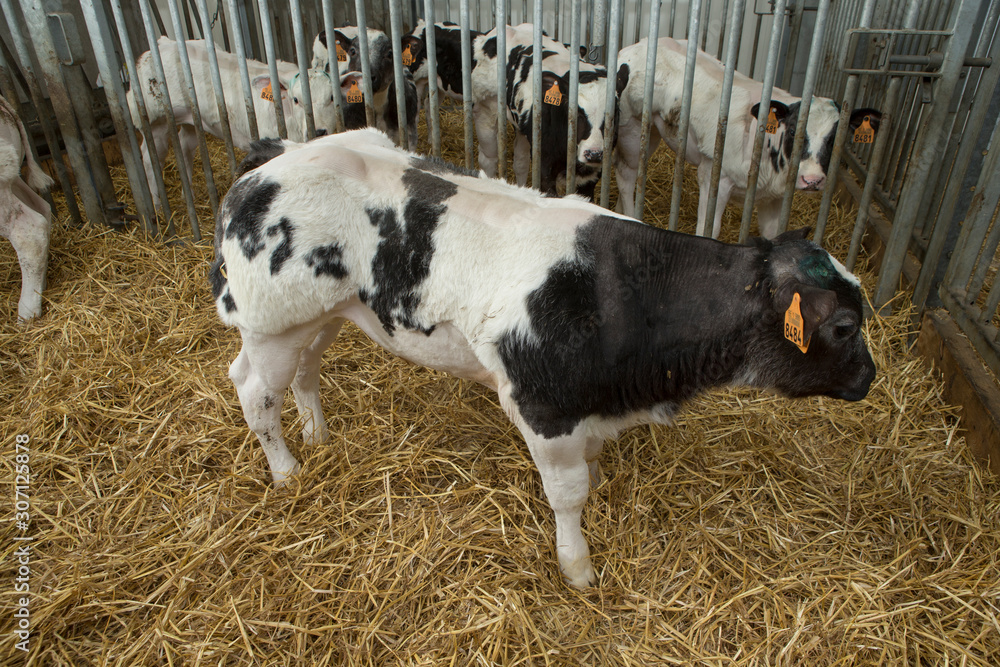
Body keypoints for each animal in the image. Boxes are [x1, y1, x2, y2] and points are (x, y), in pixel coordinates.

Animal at [127, 37, 341, 209]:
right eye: (296, 100)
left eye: (332, 97)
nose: (319, 130)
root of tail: (162, 43)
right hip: (154, 120)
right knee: (151, 157)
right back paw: (157, 204)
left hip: (192, 120)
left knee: (184, 146)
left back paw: (188, 194)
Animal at [211, 129, 877, 588]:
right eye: (844, 326)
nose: (870, 378)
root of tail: (275, 157)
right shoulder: (544, 406)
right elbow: (568, 493)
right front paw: (577, 565)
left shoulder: (592, 404)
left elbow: (593, 464)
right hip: (267, 324)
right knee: (252, 389)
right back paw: (286, 470)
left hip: (321, 317)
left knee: (306, 371)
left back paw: (318, 435)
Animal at [471, 23, 613, 201]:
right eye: (576, 113)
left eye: (612, 113)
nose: (594, 153)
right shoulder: (545, 166)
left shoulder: (591, 175)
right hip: (485, 108)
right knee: (488, 158)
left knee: (521, 162)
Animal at [615, 37, 882, 238]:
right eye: (793, 131)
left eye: (836, 138)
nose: (812, 180)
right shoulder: (713, 175)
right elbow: (709, 230)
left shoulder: (776, 197)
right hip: (631, 128)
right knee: (626, 176)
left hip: (651, 132)